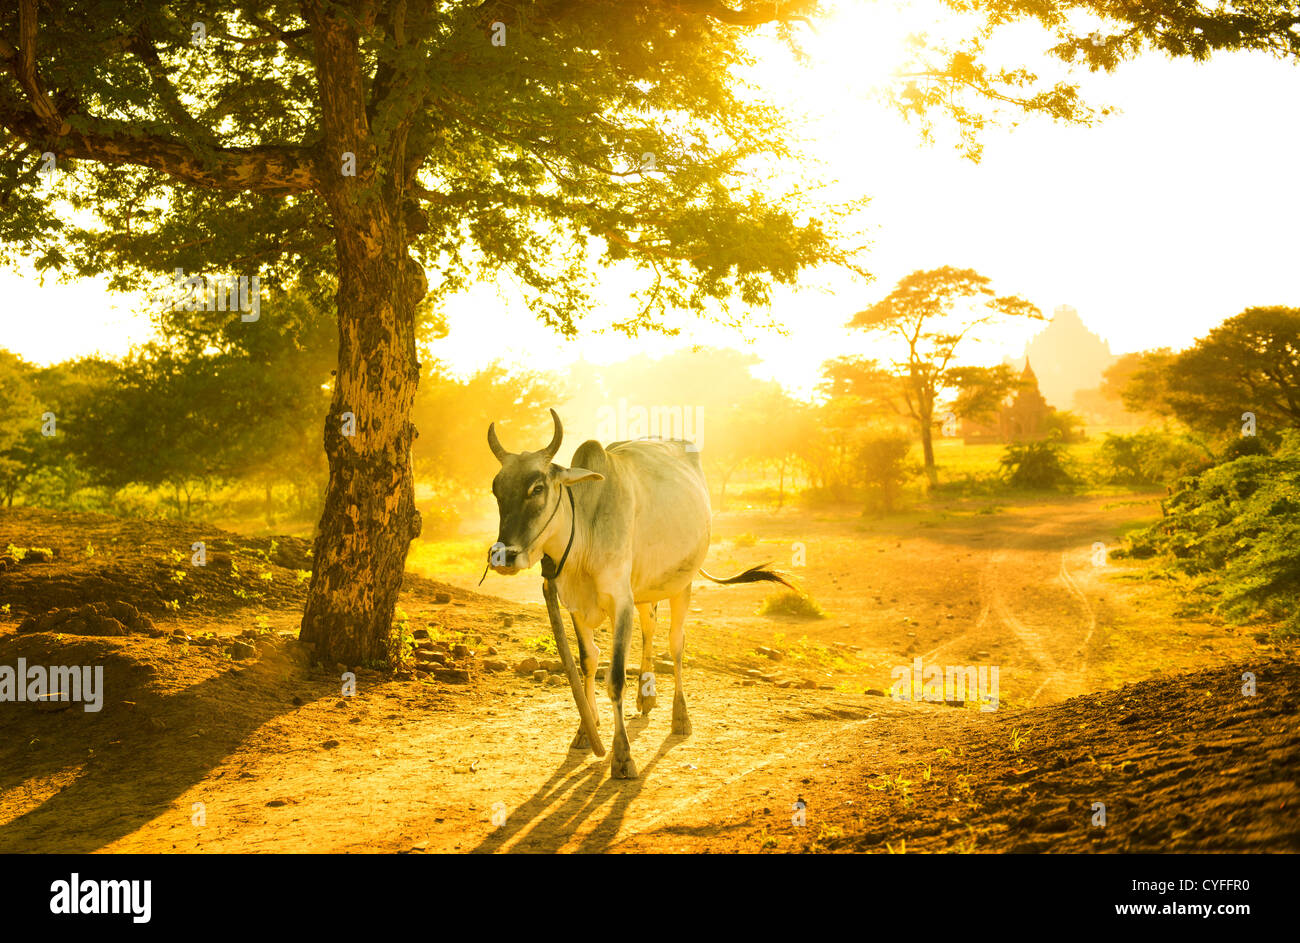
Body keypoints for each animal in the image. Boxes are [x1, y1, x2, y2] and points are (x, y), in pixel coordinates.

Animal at [486, 408, 794, 779]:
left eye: (537, 487)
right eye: (496, 490)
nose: (503, 556)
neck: (587, 530)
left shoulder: (621, 603)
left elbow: (616, 678)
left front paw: (621, 756)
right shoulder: (575, 605)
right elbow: (588, 661)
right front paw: (585, 730)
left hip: (682, 583)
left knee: (676, 644)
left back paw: (680, 717)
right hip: (647, 589)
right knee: (649, 629)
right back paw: (646, 696)